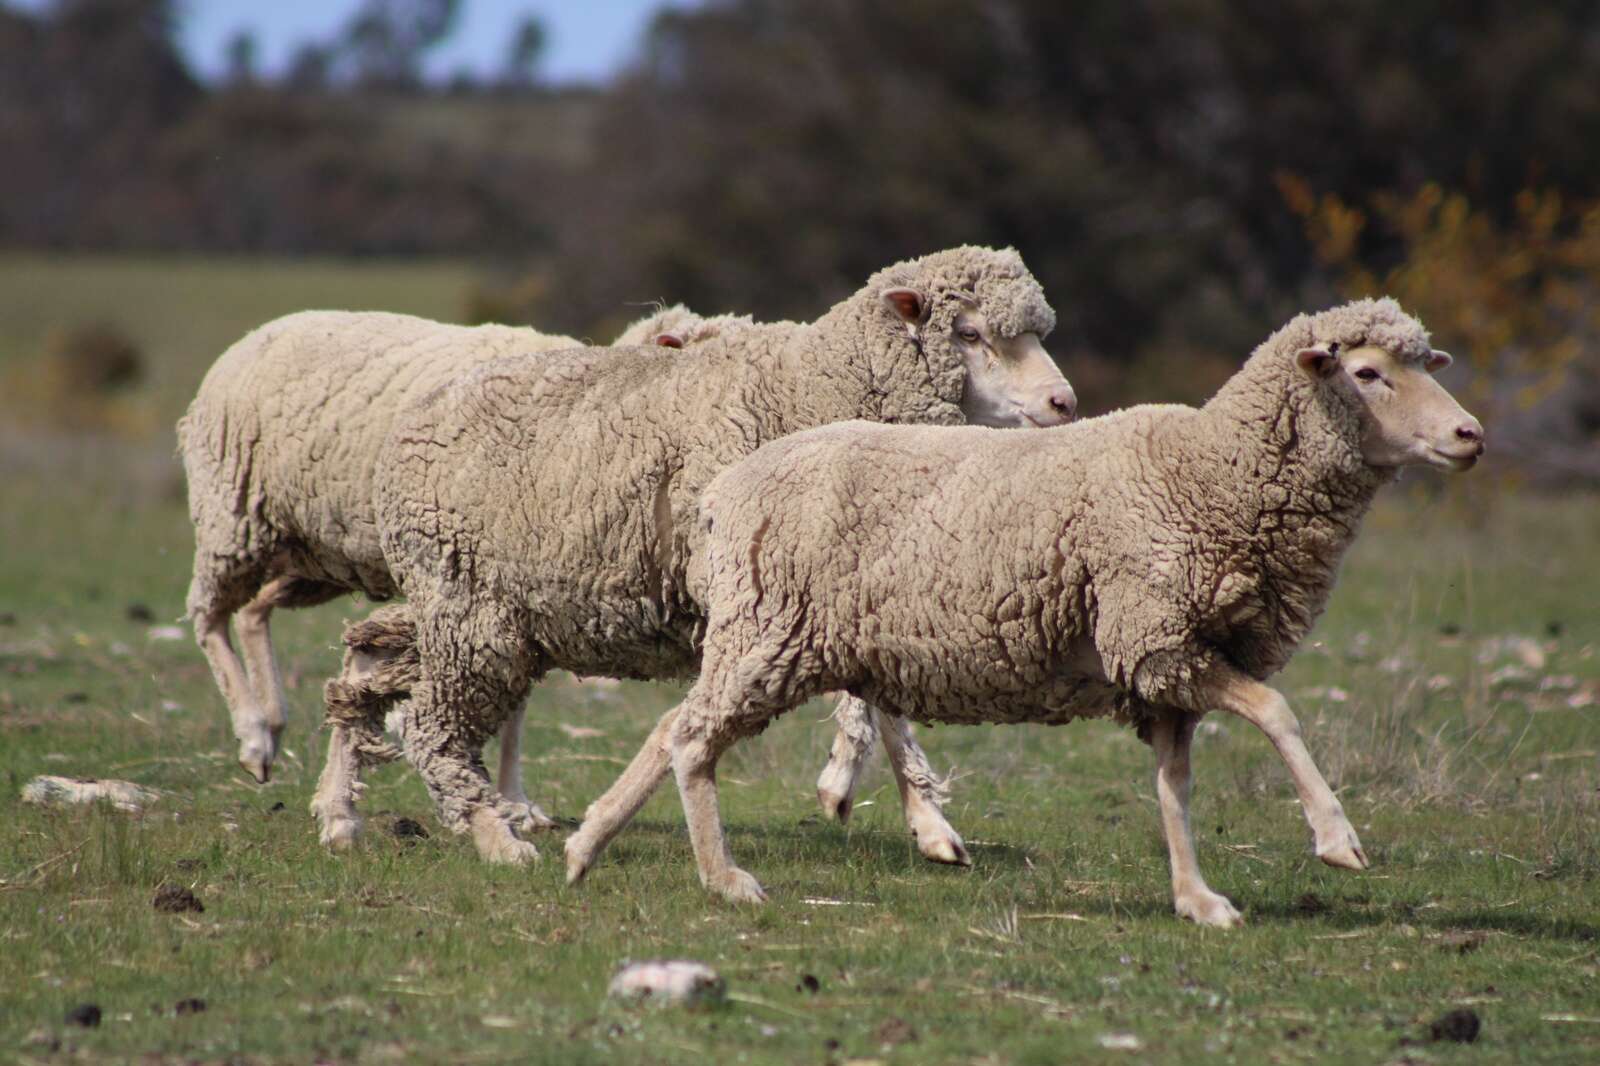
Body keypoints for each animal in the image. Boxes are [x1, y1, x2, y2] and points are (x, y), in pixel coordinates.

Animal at [362, 246, 1077, 864]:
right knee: (426, 725)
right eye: (970, 333)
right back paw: (496, 836)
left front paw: (923, 821)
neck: (810, 390)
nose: (1063, 402)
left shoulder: (847, 585)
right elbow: (877, 707)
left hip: (489, 617)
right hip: (467, 611)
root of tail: (412, 422)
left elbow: (883, 702)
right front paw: (865, 795)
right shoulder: (781, 587)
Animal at [564, 298, 1485, 925]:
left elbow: (1174, 786)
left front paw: (1196, 897)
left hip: (762, 636)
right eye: (1366, 374)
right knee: (692, 740)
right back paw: (723, 879)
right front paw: (1337, 841)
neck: (1209, 471)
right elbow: (1279, 711)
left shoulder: (1166, 668)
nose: (1472, 435)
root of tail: (726, 490)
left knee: (674, 728)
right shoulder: (1155, 636)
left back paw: (587, 844)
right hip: (770, 632)